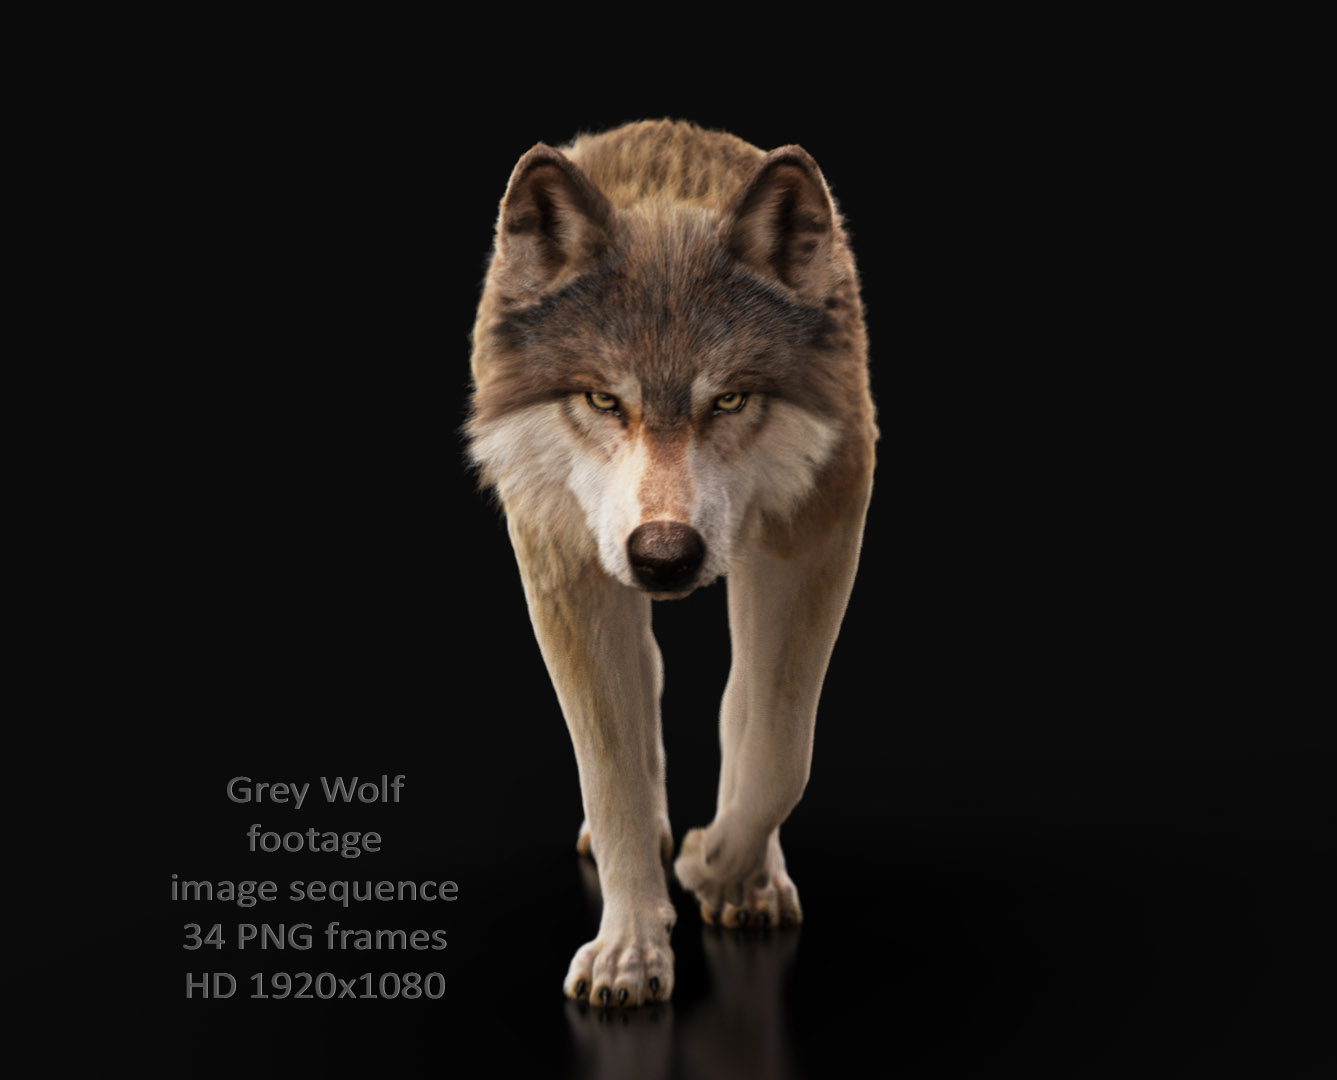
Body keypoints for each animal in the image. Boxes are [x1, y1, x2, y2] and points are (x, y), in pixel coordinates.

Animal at [467, 119, 876, 1007]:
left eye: (728, 400)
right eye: (601, 400)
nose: (662, 556)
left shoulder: (816, 539)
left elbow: (779, 748)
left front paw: (717, 866)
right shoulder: (564, 564)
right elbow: (610, 771)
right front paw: (628, 950)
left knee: (739, 701)